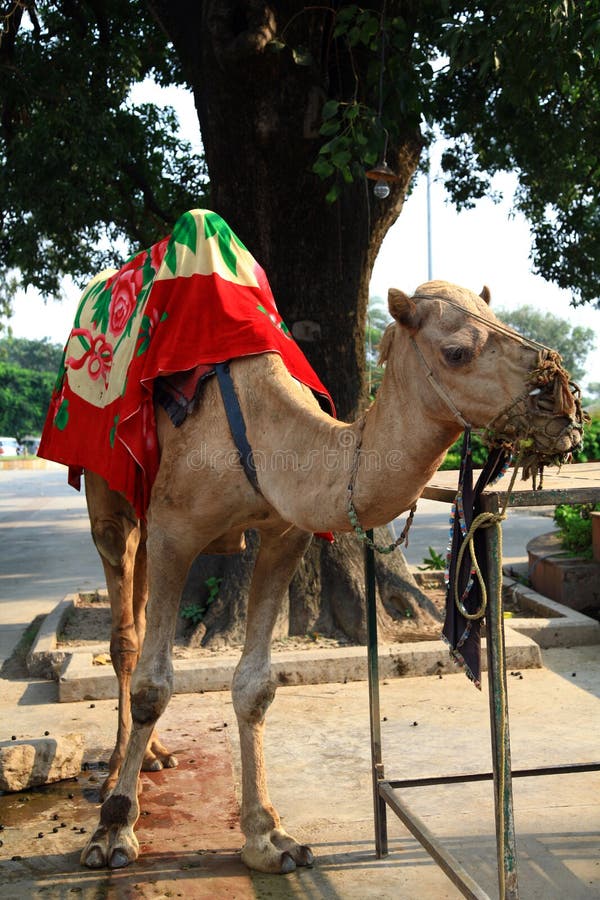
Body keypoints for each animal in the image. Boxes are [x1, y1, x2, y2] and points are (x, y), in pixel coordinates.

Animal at [79, 280, 582, 874]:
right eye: (457, 351)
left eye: (500, 321)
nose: (563, 403)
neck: (261, 431)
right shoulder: (175, 531)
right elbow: (154, 686)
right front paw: (114, 830)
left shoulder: (285, 533)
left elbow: (255, 686)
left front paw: (268, 839)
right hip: (114, 496)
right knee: (125, 630)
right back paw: (116, 778)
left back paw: (154, 756)